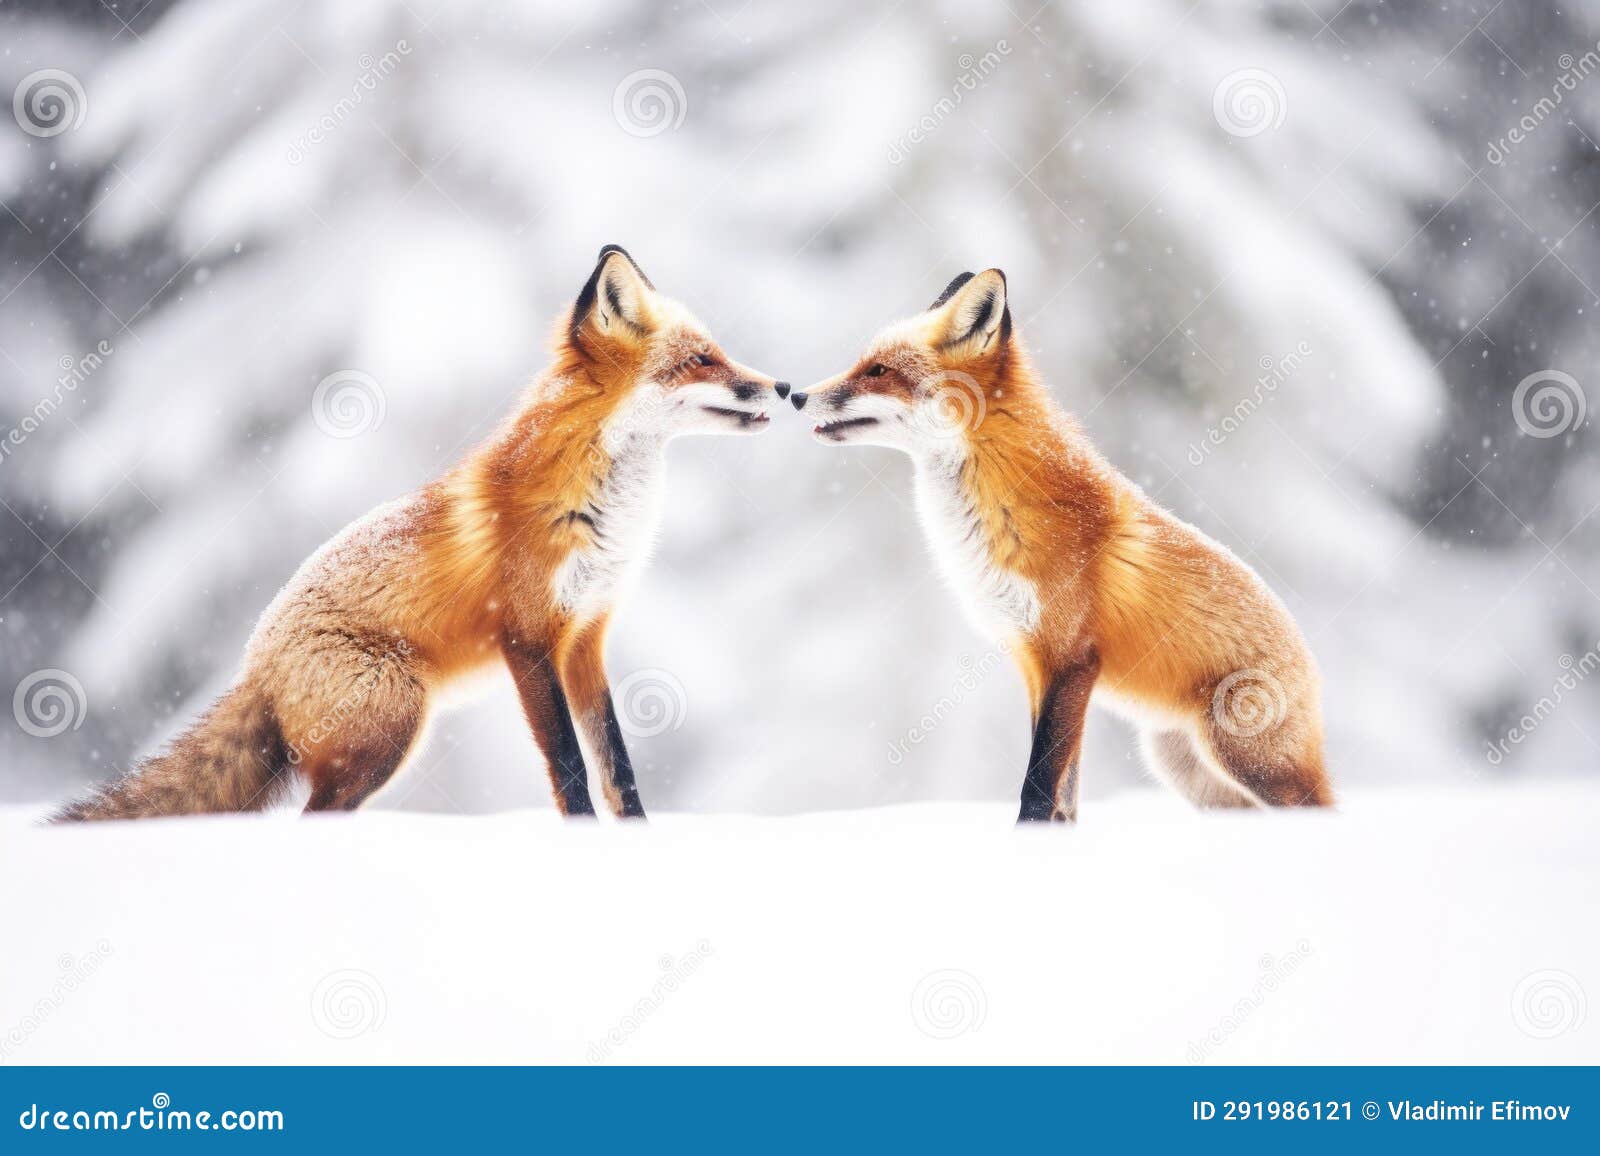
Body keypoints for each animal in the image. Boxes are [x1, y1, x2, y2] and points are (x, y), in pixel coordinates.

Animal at [56, 245, 787, 822]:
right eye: (702, 360)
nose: (780, 386)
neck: (595, 509)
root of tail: (254, 660)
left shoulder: (586, 639)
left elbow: (618, 769)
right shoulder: (527, 639)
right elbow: (571, 769)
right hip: (392, 728)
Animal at [793, 268, 1334, 822]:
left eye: (878, 370)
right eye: (863, 363)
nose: (795, 395)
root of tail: (1306, 651)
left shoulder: (1071, 659)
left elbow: (1038, 786)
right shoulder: (1033, 663)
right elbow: (1065, 797)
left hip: (1249, 762)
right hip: (1186, 770)